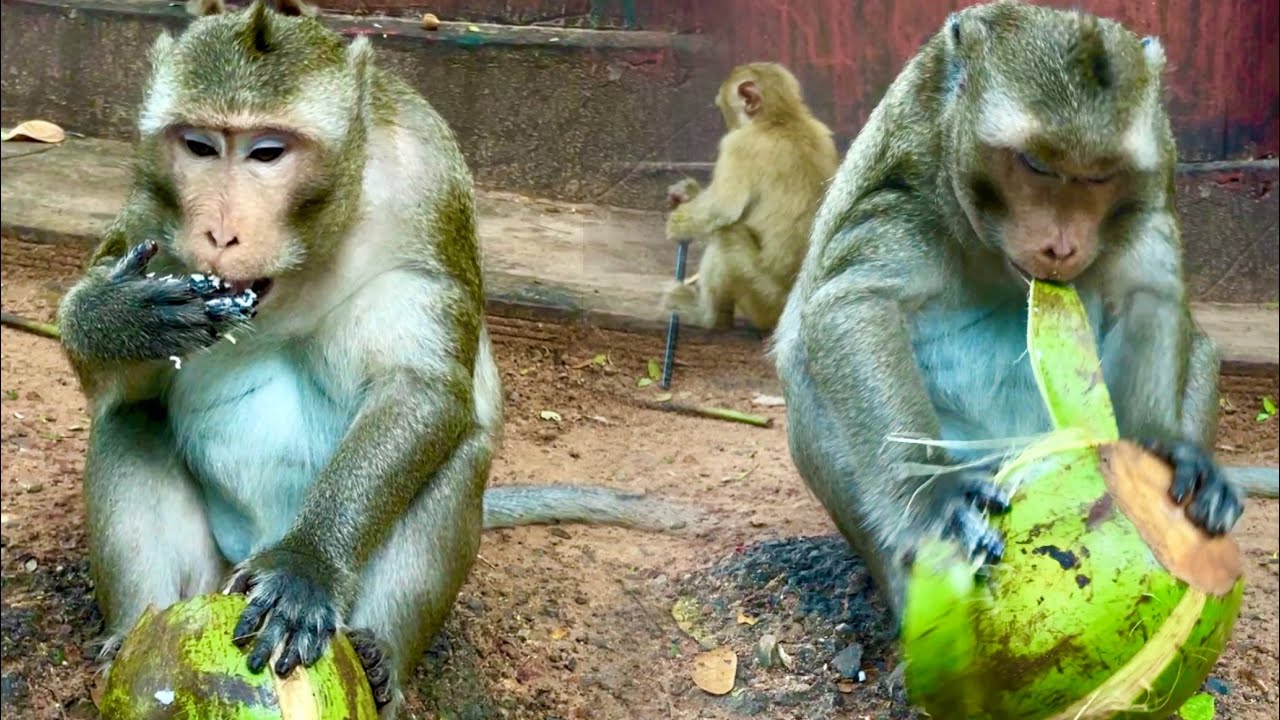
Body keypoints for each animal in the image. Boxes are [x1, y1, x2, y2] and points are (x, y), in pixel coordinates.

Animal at [54, 1, 691, 715]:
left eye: (267, 152)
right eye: (199, 147)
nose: (219, 231)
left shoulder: (427, 183)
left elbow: (419, 387)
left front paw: (305, 566)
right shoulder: (149, 208)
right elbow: (111, 384)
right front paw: (118, 318)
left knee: (459, 455)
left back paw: (381, 660)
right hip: (214, 572)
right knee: (128, 421)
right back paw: (132, 635)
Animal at [662, 62, 839, 333]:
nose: (730, 124)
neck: (781, 119)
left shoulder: (740, 145)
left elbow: (722, 208)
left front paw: (678, 224)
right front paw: (687, 192)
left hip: (760, 297)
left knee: (725, 235)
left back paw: (707, 316)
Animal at [771, 1, 1278, 625]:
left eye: (1100, 175)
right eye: (1036, 165)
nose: (1061, 244)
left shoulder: (1154, 175)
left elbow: (1149, 289)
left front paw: (1164, 450)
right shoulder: (910, 182)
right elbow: (854, 304)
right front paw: (935, 500)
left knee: (1200, 346)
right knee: (807, 371)